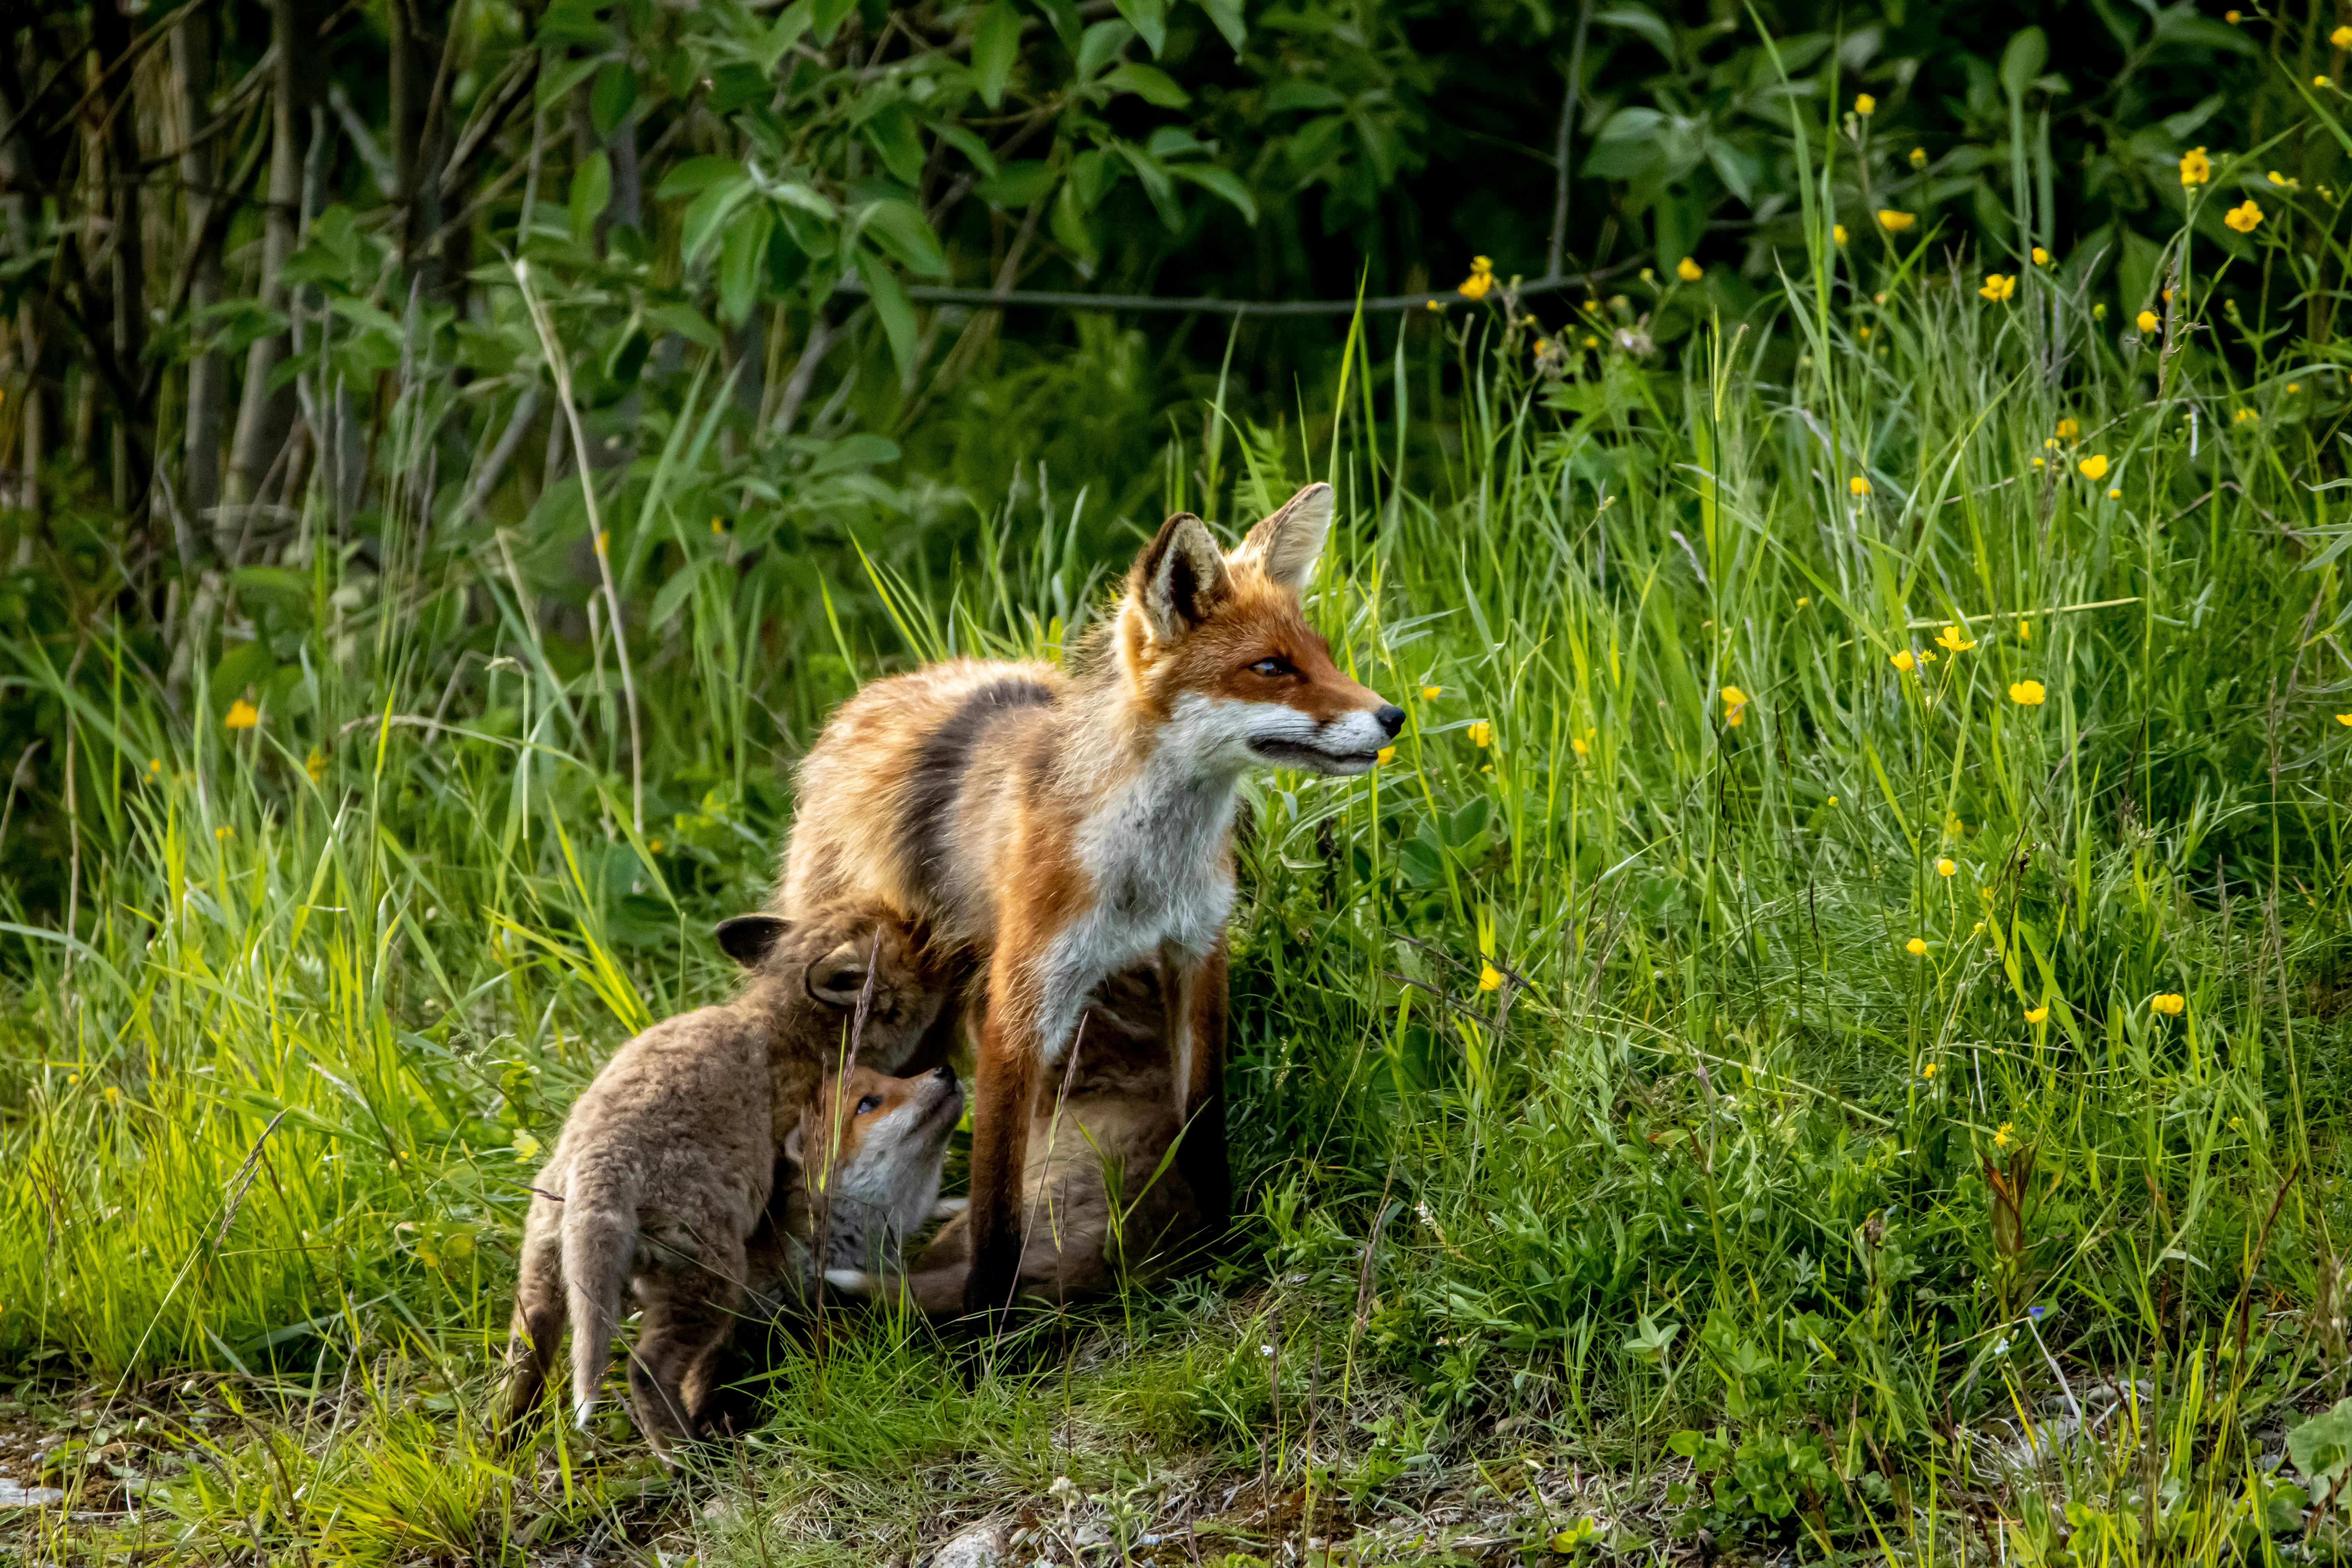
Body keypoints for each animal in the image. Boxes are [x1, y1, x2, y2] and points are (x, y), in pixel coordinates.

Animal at [499, 903, 954, 1459]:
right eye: (921, 943)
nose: (952, 937)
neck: (784, 1026)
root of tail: (600, 1161)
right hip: (709, 1281)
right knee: (645, 1369)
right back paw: (690, 1456)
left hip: (544, 1284)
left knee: (525, 1363)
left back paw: (504, 1440)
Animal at [779, 481, 1400, 1318]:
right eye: (1270, 667)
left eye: (1325, 656)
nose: (1393, 716)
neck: (1145, 875)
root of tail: (870, 697)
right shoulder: (1022, 1003)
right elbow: (999, 1210)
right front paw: (988, 1324)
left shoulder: (1196, 952)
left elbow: (1202, 1125)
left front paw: (1220, 1241)